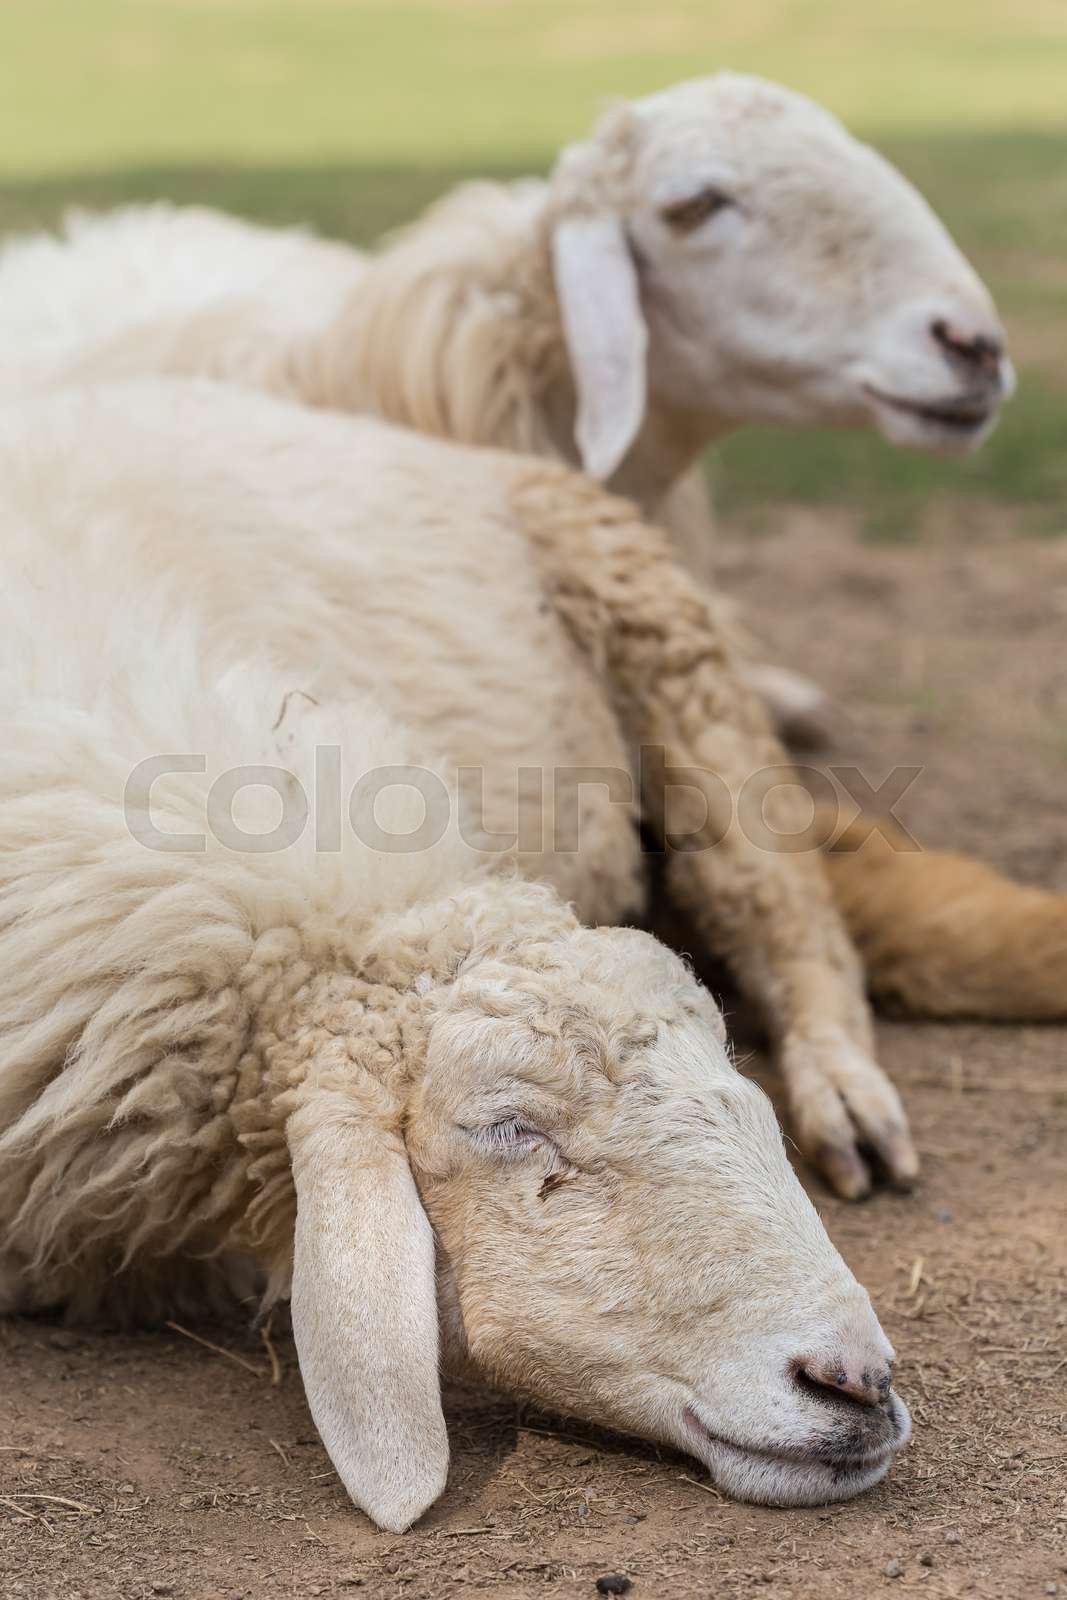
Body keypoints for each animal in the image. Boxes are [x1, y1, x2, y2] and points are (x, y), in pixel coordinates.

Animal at [0, 378, 914, 1531]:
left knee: (777, 898)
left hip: (662, 635)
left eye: (731, 1078)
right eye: (509, 1128)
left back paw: (849, 1097)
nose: (853, 1384)